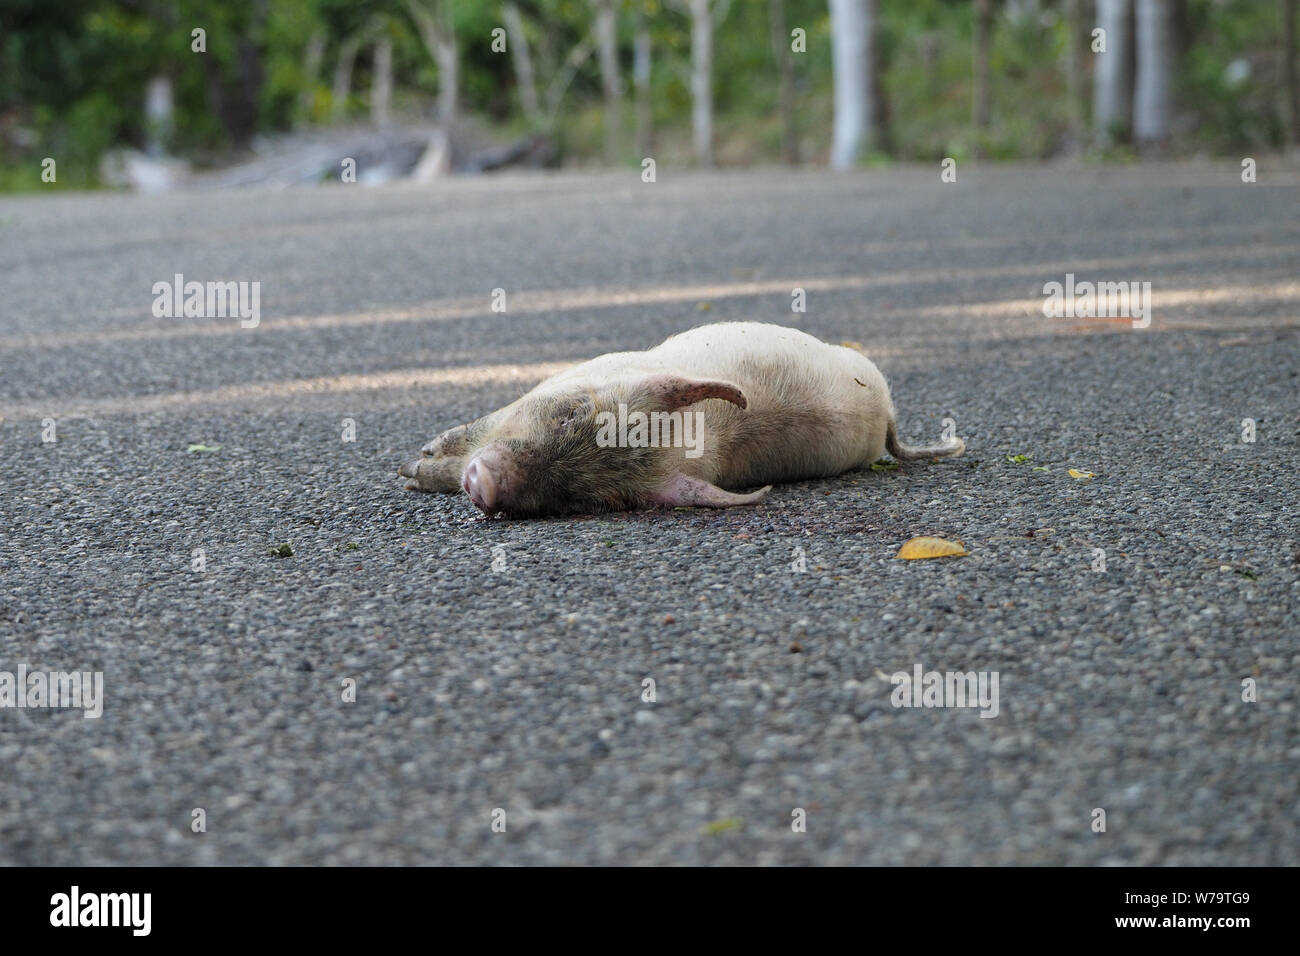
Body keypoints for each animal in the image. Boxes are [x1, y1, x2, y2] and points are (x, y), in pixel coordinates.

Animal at [399, 322, 965, 517]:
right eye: (569, 417)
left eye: (583, 498)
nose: (486, 483)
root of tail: (887, 416)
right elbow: (472, 430)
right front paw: (412, 468)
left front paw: (415, 472)